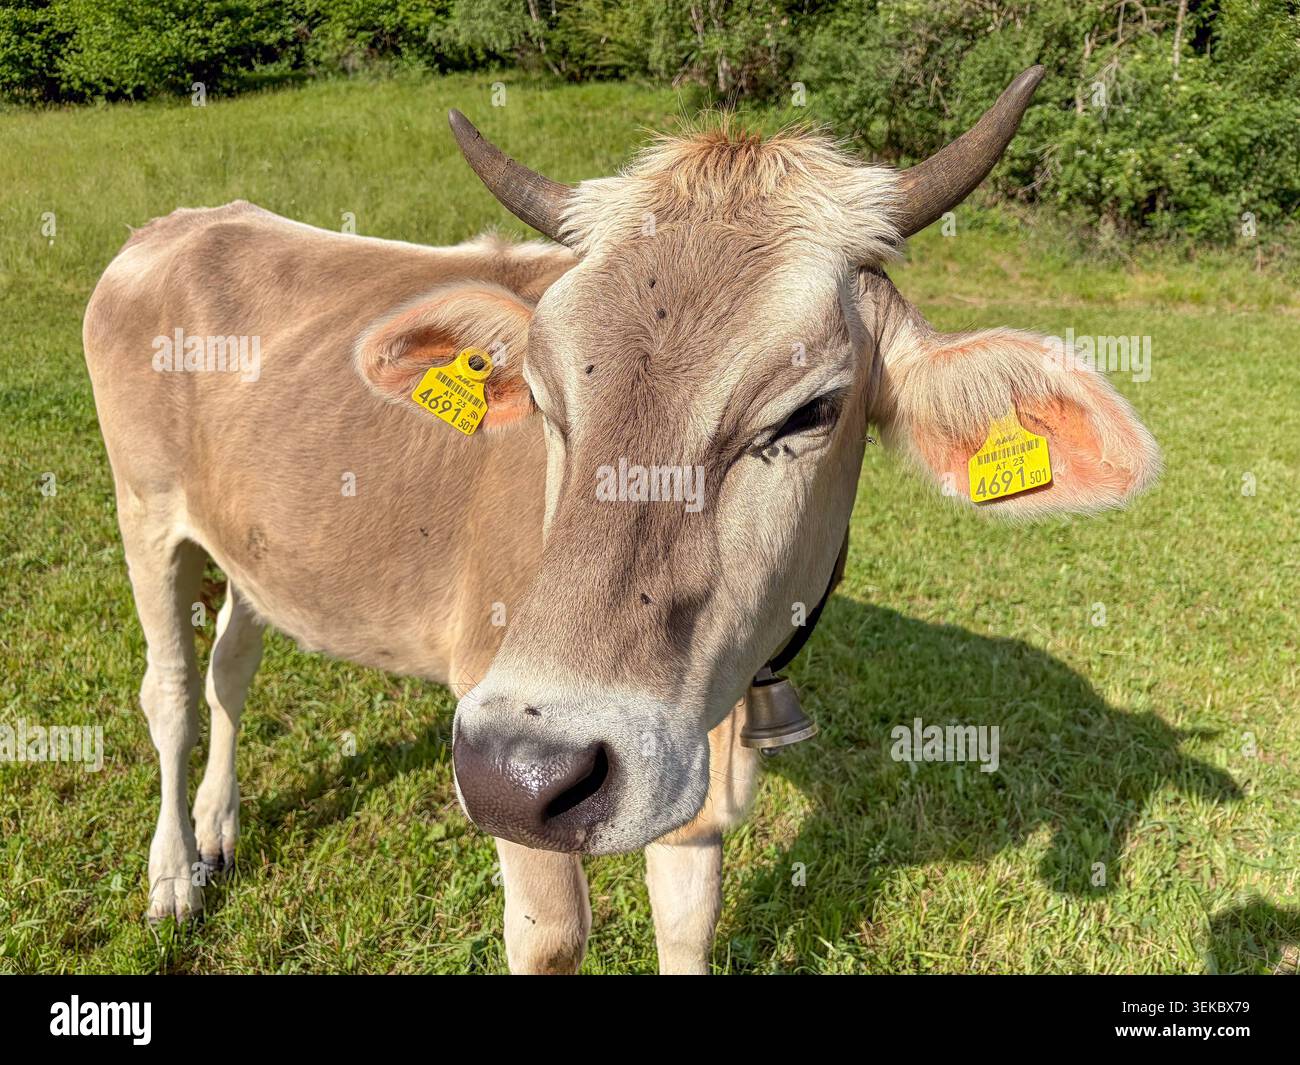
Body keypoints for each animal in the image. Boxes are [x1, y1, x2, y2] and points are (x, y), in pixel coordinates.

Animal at [83, 66, 1160, 974]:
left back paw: (220, 826)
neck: (727, 715)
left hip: (252, 542)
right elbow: (552, 934)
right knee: (170, 693)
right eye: (545, 395)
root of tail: (185, 223)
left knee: (232, 663)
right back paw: (175, 876)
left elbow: (687, 924)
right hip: (145, 515)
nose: (523, 770)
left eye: (810, 411)